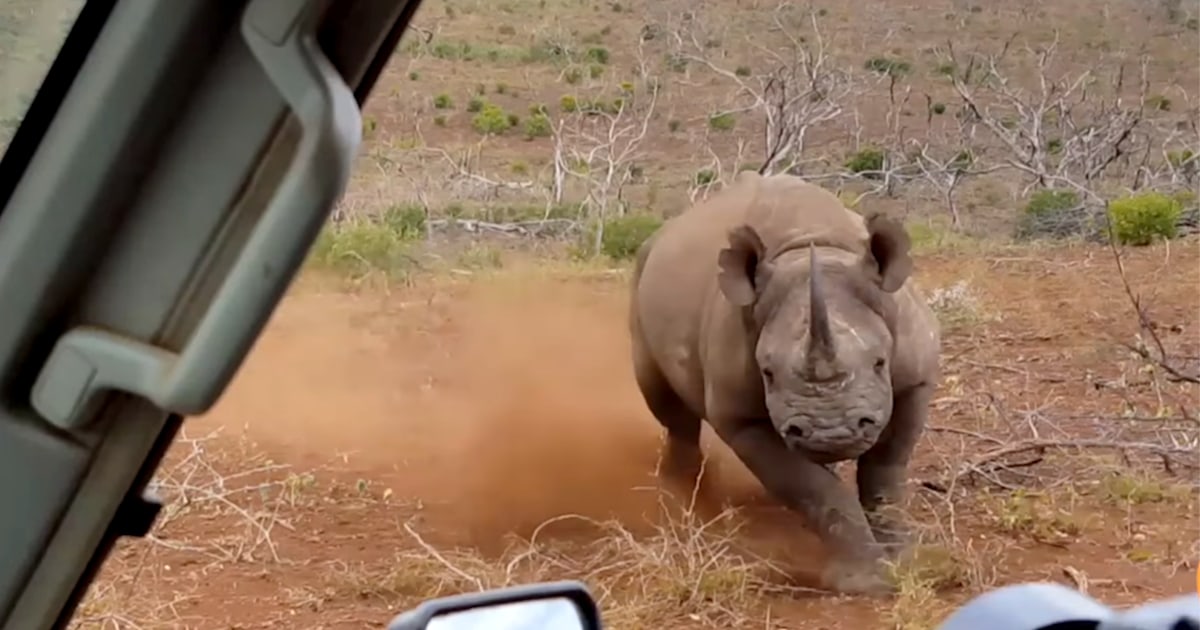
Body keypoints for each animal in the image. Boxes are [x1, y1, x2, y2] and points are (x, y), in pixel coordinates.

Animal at [628, 170, 941, 595]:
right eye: (768, 374)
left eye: (880, 363)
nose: (831, 434)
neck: (811, 248)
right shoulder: (742, 418)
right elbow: (813, 489)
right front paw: (864, 582)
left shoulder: (915, 380)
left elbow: (885, 471)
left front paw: (905, 561)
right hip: (639, 278)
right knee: (667, 405)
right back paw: (680, 498)